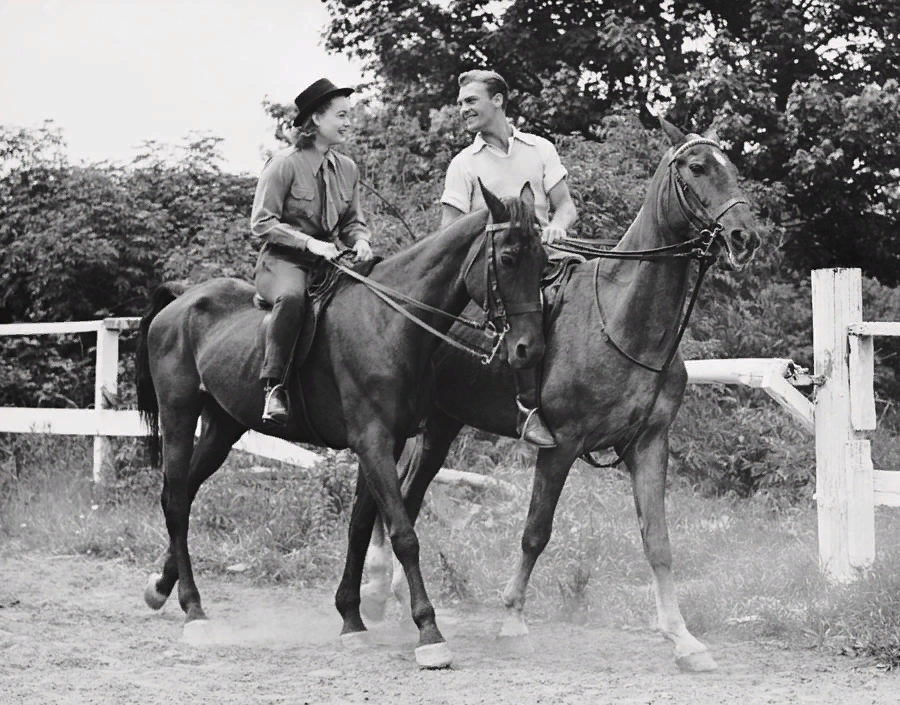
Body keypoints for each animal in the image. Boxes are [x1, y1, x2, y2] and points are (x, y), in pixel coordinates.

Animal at [138, 180, 548, 664]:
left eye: (543, 261)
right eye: (509, 257)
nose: (529, 349)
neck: (388, 322)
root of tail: (182, 300)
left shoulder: (387, 443)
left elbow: (359, 526)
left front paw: (351, 618)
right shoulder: (372, 440)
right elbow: (403, 534)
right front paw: (429, 632)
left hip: (222, 427)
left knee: (182, 494)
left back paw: (161, 588)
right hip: (179, 416)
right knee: (177, 502)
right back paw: (194, 611)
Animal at [358, 119, 760, 672]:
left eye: (733, 167)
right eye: (697, 167)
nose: (745, 236)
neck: (622, 321)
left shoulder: (650, 444)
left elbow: (658, 542)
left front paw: (683, 639)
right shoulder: (561, 445)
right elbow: (536, 531)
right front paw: (512, 621)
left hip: (441, 425)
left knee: (409, 491)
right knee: (387, 490)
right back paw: (376, 589)